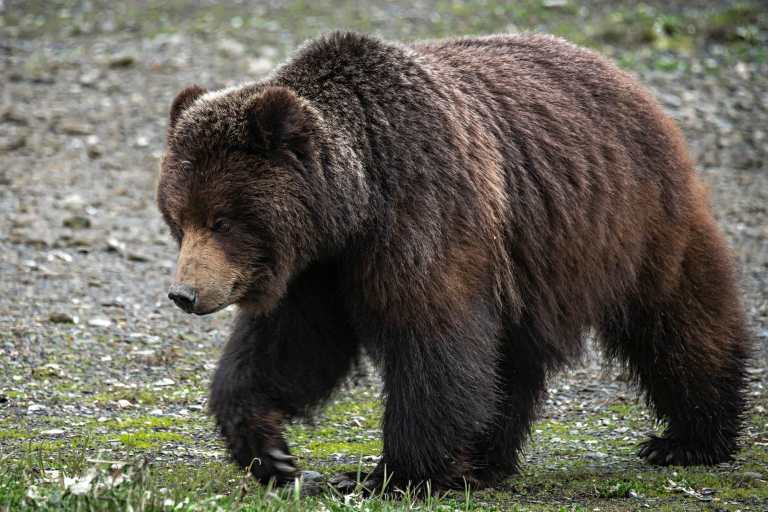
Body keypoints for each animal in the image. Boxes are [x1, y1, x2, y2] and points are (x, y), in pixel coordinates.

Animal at [157, 31, 751, 492]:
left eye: (222, 220)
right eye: (178, 218)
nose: (184, 294)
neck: (355, 205)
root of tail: (624, 77)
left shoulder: (425, 213)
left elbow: (433, 339)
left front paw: (390, 475)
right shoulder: (317, 269)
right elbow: (291, 346)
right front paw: (270, 450)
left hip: (626, 220)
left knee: (677, 316)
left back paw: (689, 439)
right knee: (513, 358)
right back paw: (487, 459)